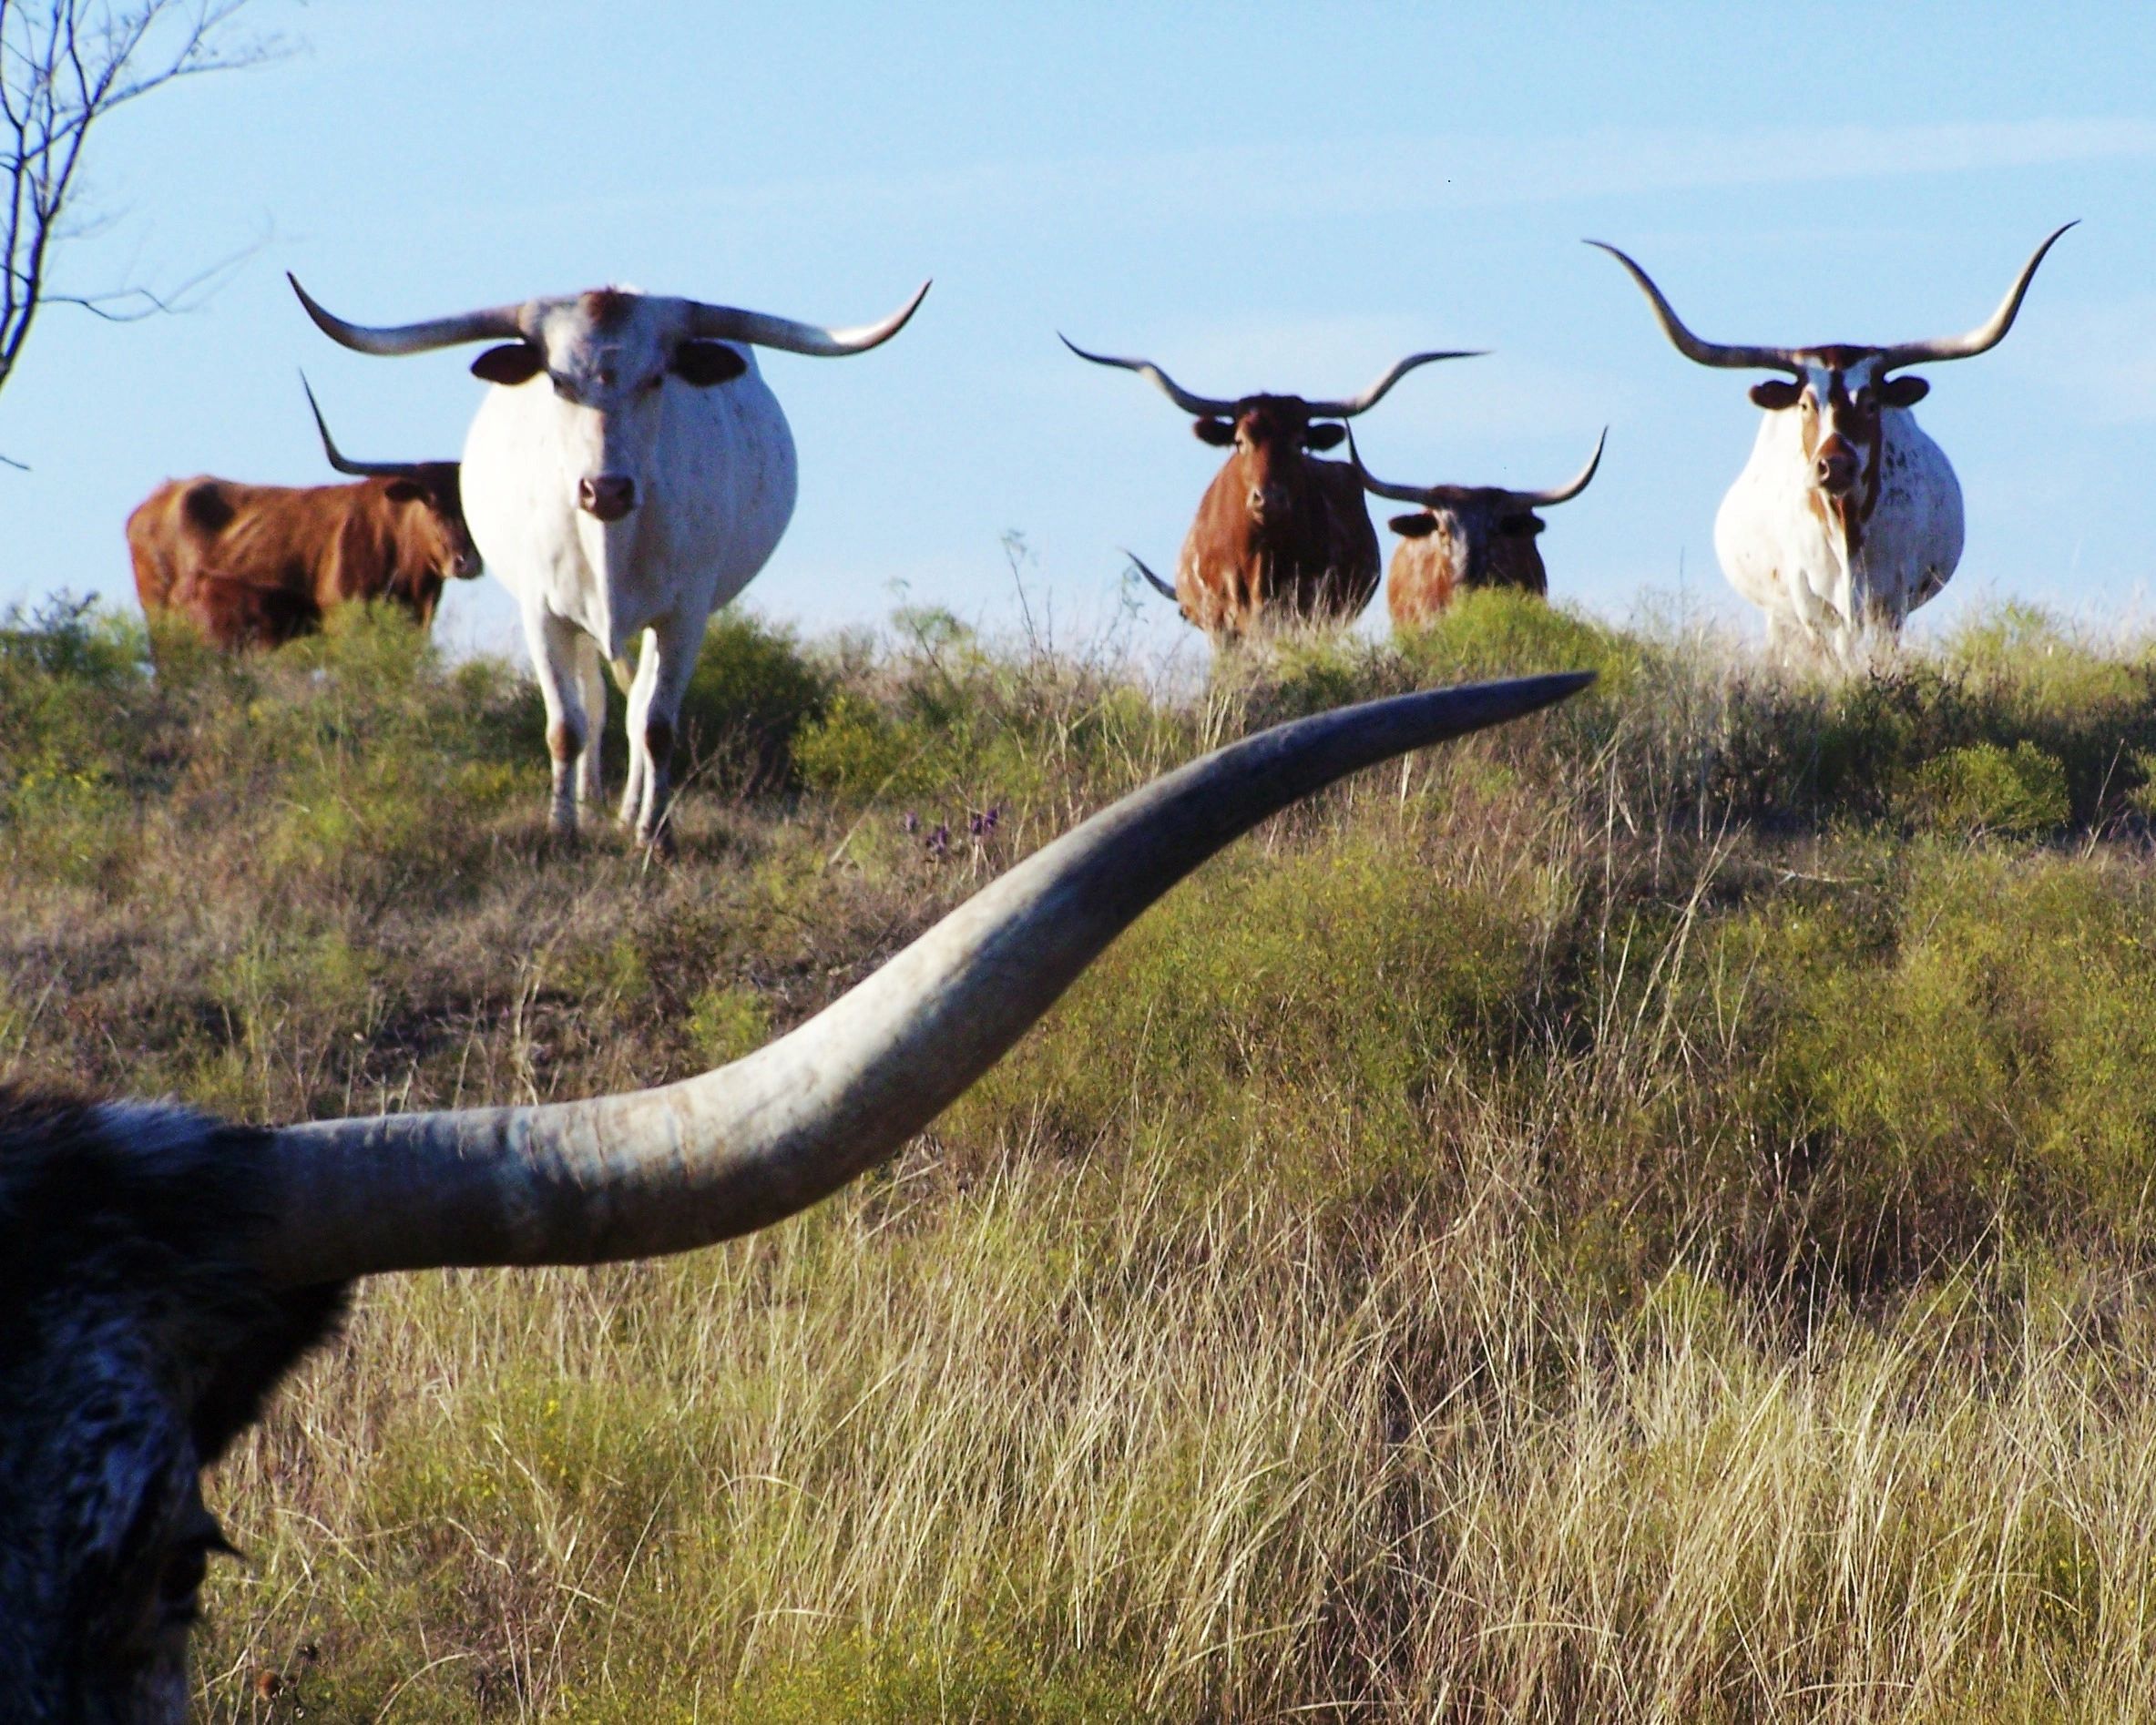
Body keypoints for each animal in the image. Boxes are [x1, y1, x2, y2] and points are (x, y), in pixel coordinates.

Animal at [289, 275, 929, 848]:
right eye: (558, 380)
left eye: (657, 377)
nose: (607, 490)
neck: (608, 541)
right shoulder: (542, 614)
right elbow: (565, 726)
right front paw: (561, 829)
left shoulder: (684, 616)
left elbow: (656, 725)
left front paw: (655, 832)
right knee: (594, 706)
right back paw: (589, 798)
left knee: (636, 705)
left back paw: (627, 813)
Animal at [1063, 336, 1478, 641]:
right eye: (1240, 441)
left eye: (1299, 442)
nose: (1270, 498)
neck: (1260, 555)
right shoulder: (1222, 626)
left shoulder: (1309, 614)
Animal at [1590, 226, 2073, 670]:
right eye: (1806, 404)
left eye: (1873, 403)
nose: (1834, 467)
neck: (1846, 529)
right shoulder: (1808, 601)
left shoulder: (1890, 600)